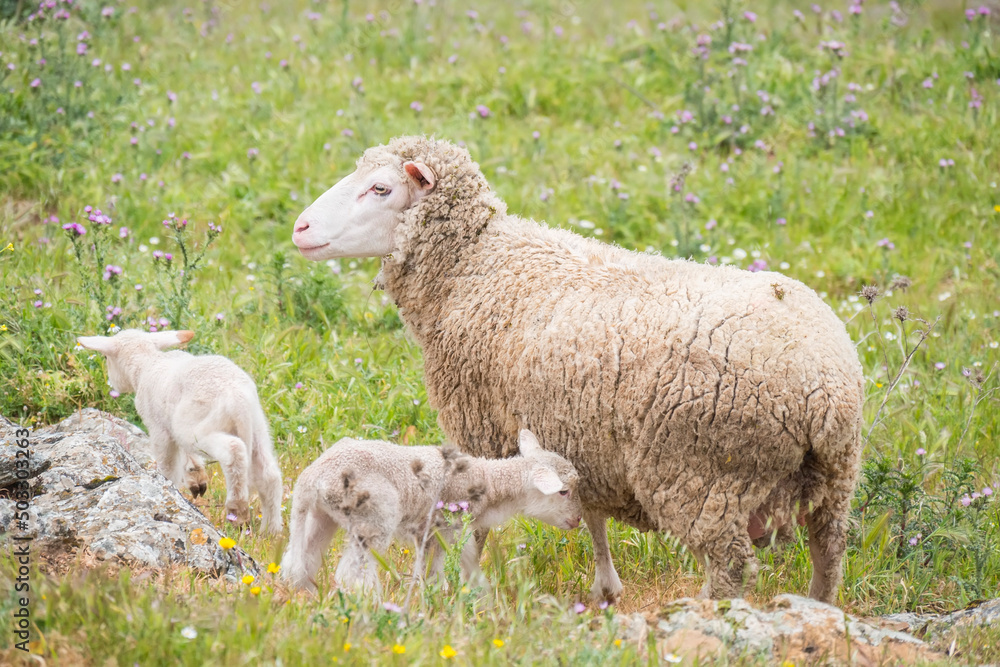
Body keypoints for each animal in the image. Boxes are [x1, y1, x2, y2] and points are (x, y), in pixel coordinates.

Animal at [76, 329, 284, 535]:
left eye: (105, 357)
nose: (112, 383)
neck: (147, 365)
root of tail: (237, 396)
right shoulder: (171, 422)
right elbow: (188, 457)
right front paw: (195, 477)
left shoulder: (159, 427)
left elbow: (167, 464)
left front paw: (167, 487)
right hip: (257, 426)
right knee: (269, 474)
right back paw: (271, 531)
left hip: (197, 426)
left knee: (234, 450)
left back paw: (238, 511)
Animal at [280, 429, 582, 595]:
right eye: (563, 492)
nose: (578, 519)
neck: (490, 482)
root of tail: (314, 476)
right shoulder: (442, 527)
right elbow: (435, 571)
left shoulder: (440, 531)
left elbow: (465, 560)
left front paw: (481, 596)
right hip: (374, 516)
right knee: (352, 572)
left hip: (321, 516)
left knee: (300, 560)